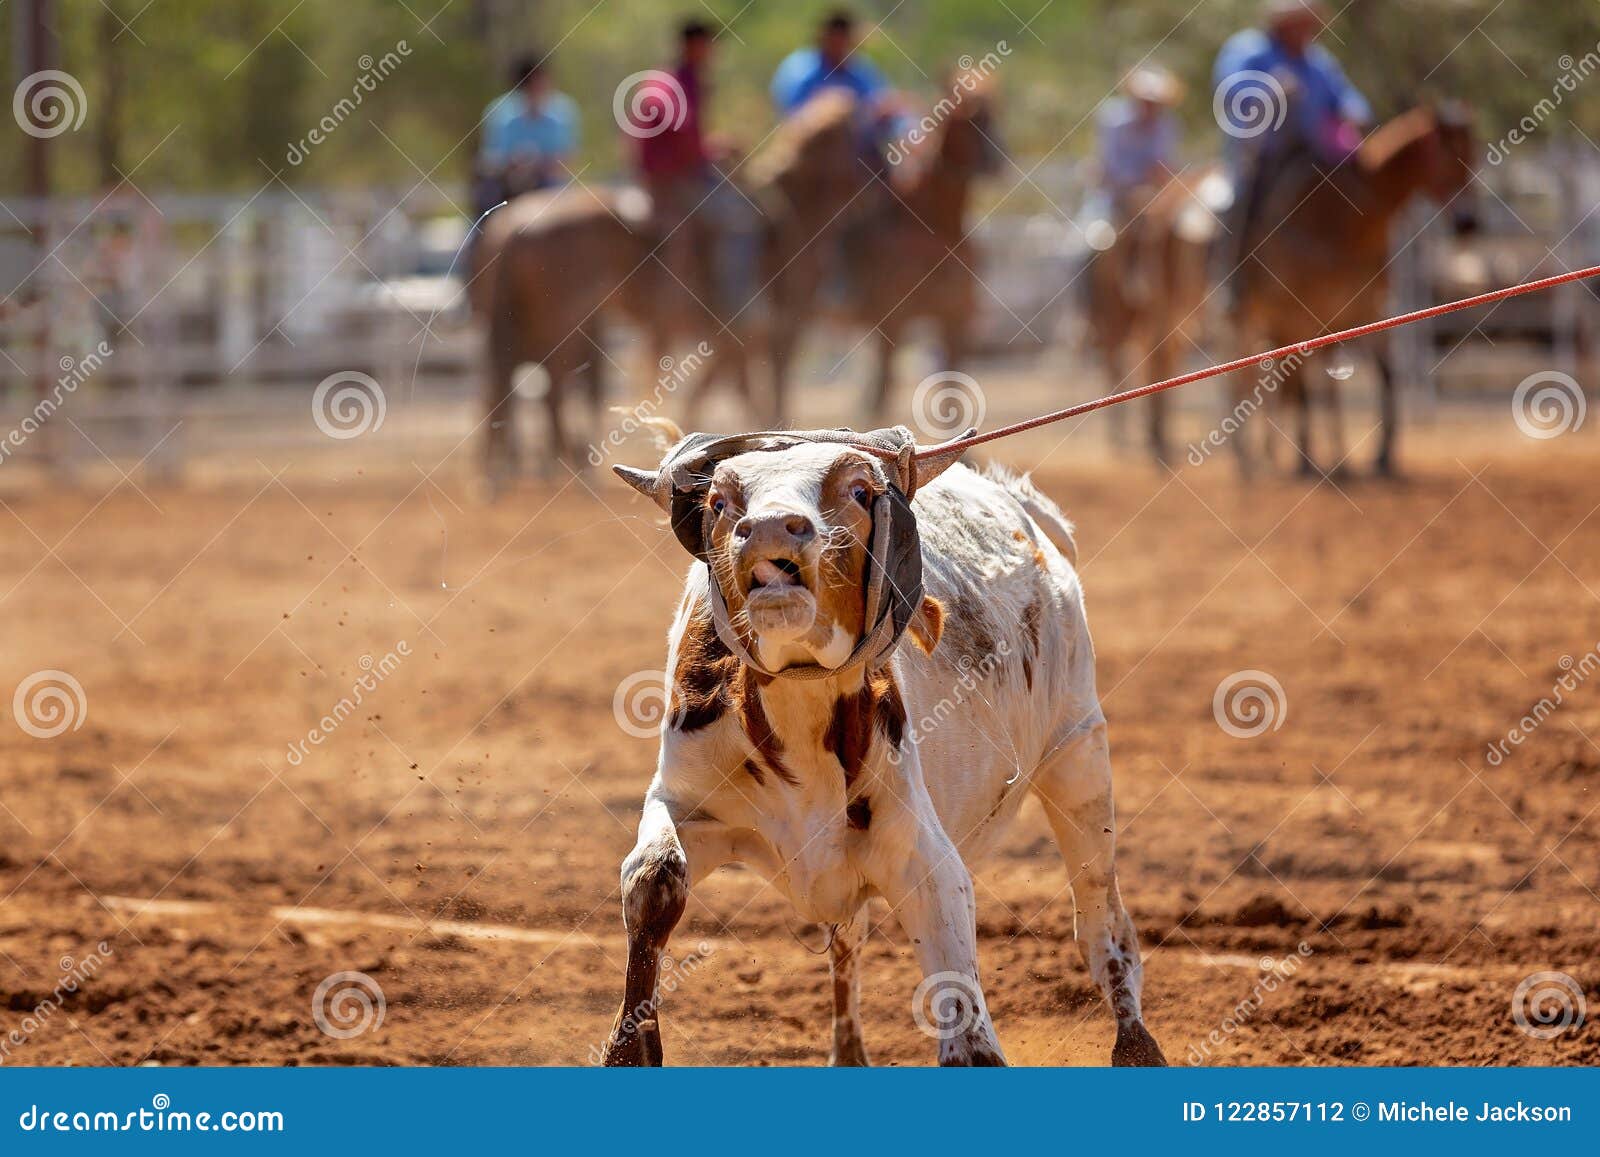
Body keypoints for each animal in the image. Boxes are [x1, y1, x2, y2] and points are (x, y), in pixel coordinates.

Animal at [603, 425, 1165, 1066]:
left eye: (858, 489)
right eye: (720, 501)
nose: (769, 529)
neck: (799, 712)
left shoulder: (925, 860)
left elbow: (970, 1037)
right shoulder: (685, 799)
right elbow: (654, 877)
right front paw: (629, 1046)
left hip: (1079, 757)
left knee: (1103, 920)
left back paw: (1135, 1039)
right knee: (848, 940)